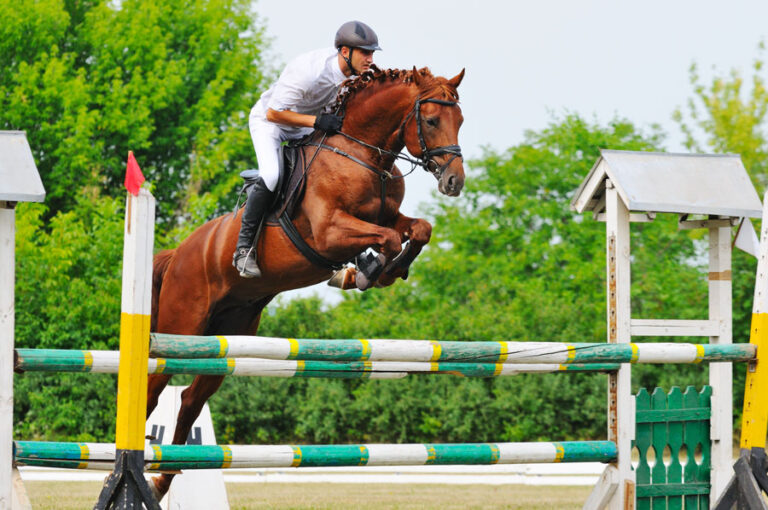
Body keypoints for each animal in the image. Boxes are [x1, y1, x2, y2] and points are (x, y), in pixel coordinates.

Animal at [145, 65, 466, 498]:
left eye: (460, 120)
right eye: (431, 121)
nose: (454, 182)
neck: (366, 155)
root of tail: (178, 253)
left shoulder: (386, 216)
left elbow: (418, 230)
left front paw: (380, 271)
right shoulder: (331, 232)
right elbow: (387, 238)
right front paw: (367, 272)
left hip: (228, 335)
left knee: (192, 399)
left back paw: (165, 478)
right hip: (182, 327)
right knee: (154, 388)